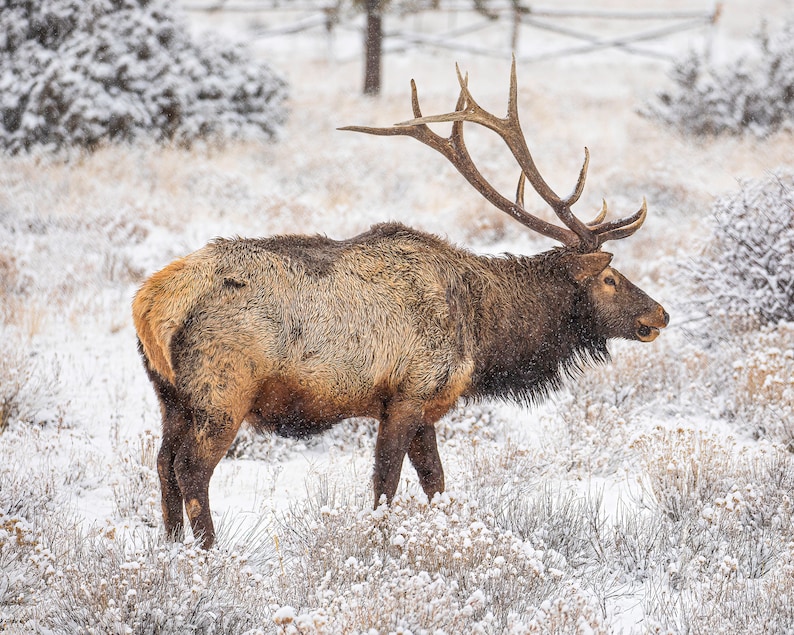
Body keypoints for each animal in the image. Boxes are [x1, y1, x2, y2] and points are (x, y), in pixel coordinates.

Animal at [133, 60, 669, 549]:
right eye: (609, 278)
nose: (660, 313)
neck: (482, 332)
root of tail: (150, 302)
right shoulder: (409, 394)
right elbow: (386, 484)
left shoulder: (427, 406)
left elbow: (435, 482)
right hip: (222, 391)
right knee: (190, 469)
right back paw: (208, 553)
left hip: (170, 396)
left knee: (161, 463)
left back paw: (171, 548)